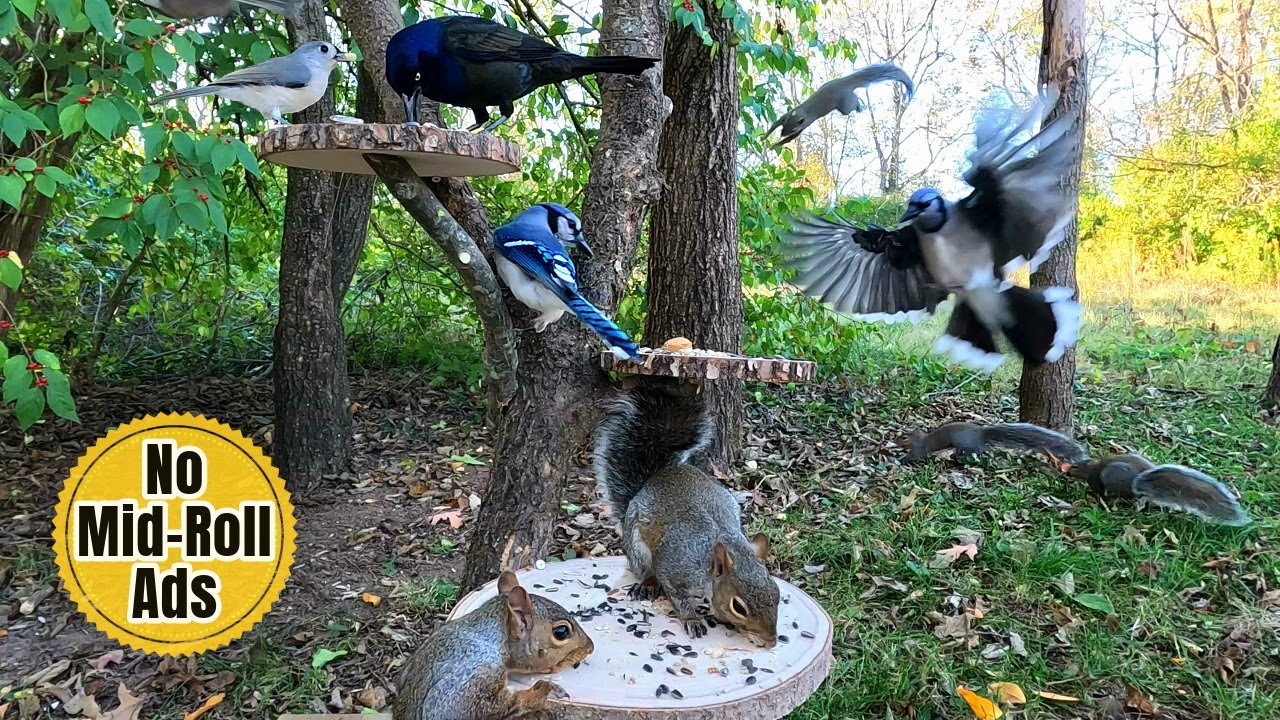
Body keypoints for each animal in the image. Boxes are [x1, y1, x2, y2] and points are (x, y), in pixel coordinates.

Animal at [593, 380, 779, 647]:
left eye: (777, 593)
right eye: (739, 607)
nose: (771, 640)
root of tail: (657, 477)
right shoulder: (675, 568)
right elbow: (677, 596)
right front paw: (691, 619)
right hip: (637, 547)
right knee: (645, 569)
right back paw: (647, 584)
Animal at [1065, 454, 1251, 526]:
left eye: (1075, 466)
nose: (1066, 472)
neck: (1091, 469)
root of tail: (1142, 477)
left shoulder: (1095, 480)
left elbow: (1097, 490)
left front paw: (1094, 495)